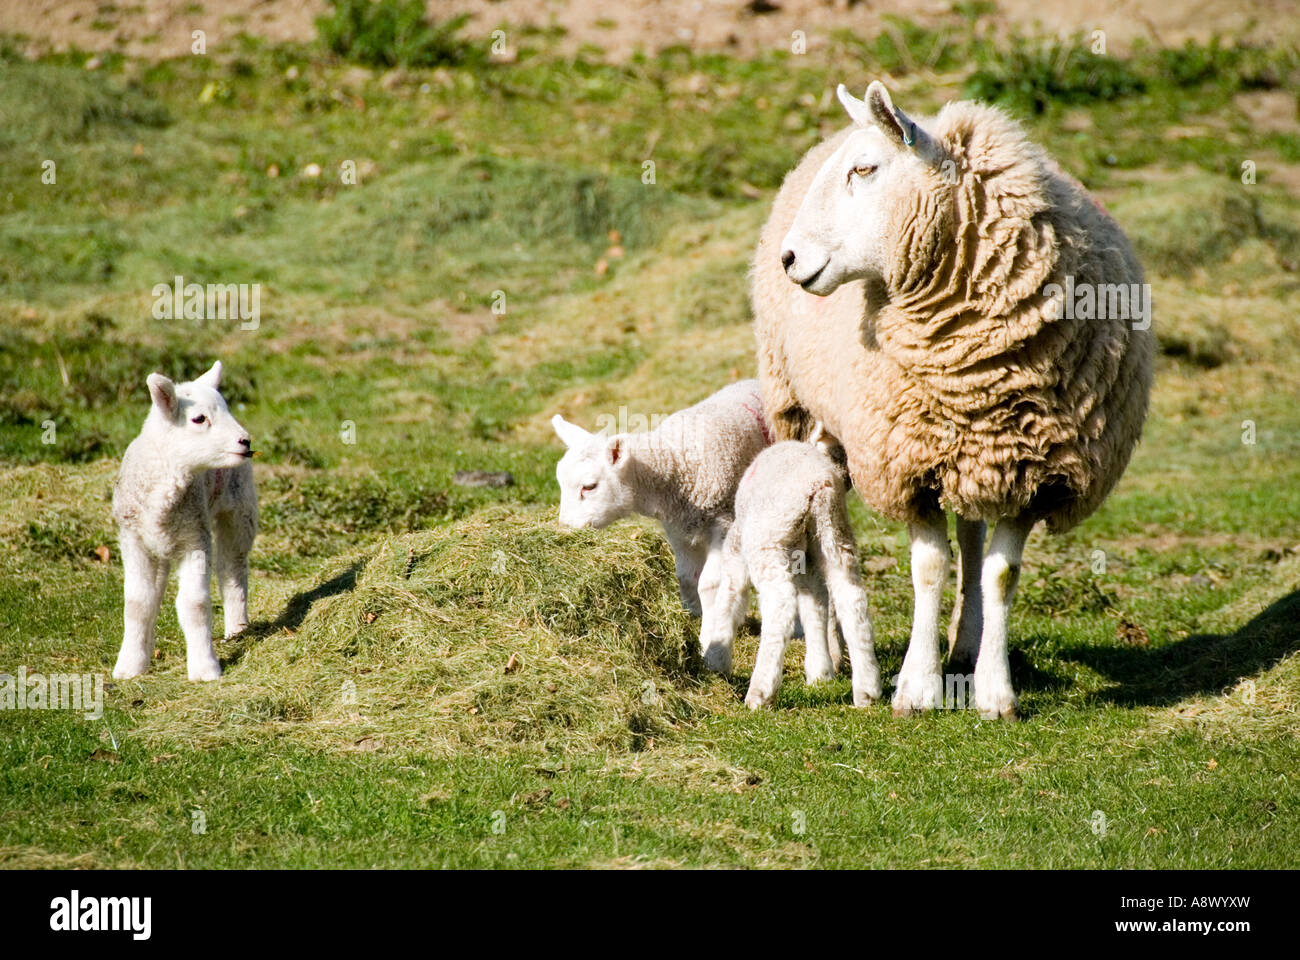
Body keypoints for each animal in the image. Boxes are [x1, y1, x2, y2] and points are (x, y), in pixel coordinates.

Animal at [111, 361, 257, 682]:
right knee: (155, 593)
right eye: (199, 419)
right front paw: (130, 665)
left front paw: (205, 667)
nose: (245, 441)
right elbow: (137, 603)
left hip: (240, 506)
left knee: (233, 566)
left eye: (226, 408)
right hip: (161, 545)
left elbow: (195, 603)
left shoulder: (195, 537)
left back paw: (237, 628)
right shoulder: (133, 540)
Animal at [698, 437, 881, 708]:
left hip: (768, 539)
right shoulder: (808, 564)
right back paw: (867, 690)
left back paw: (760, 692)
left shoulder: (737, 547)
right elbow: (815, 606)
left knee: (780, 604)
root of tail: (818, 486)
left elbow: (729, 597)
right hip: (834, 535)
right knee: (852, 600)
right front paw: (821, 673)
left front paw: (715, 660)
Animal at [752, 81, 1154, 719]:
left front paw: (995, 691)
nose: (790, 258)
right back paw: (826, 659)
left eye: (864, 169)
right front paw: (916, 688)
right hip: (803, 411)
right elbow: (928, 568)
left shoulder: (1038, 471)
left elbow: (999, 574)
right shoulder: (906, 461)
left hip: (970, 454)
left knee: (969, 535)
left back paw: (964, 643)